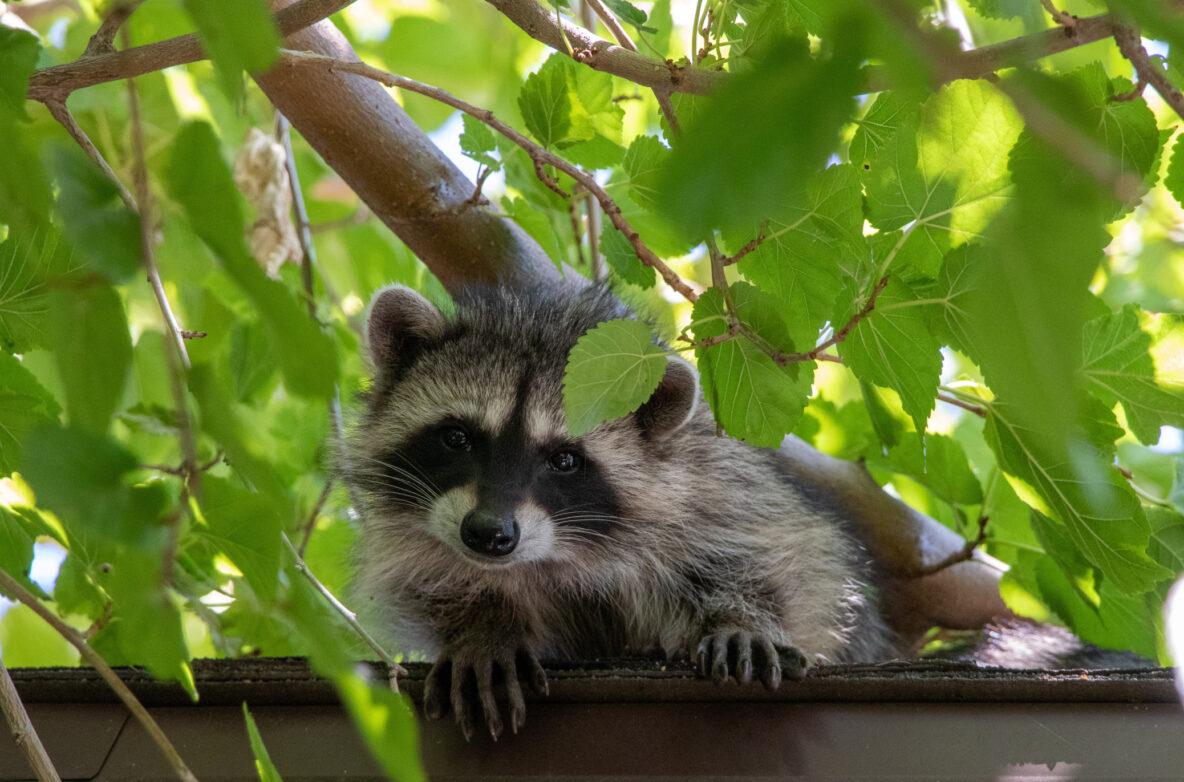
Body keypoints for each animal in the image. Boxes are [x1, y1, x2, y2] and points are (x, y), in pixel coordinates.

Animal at [346, 283, 898, 740]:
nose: (488, 534)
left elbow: (780, 552)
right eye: (458, 437)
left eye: (564, 460)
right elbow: (427, 579)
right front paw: (482, 623)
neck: (557, 557)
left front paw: (740, 617)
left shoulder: (713, 485)